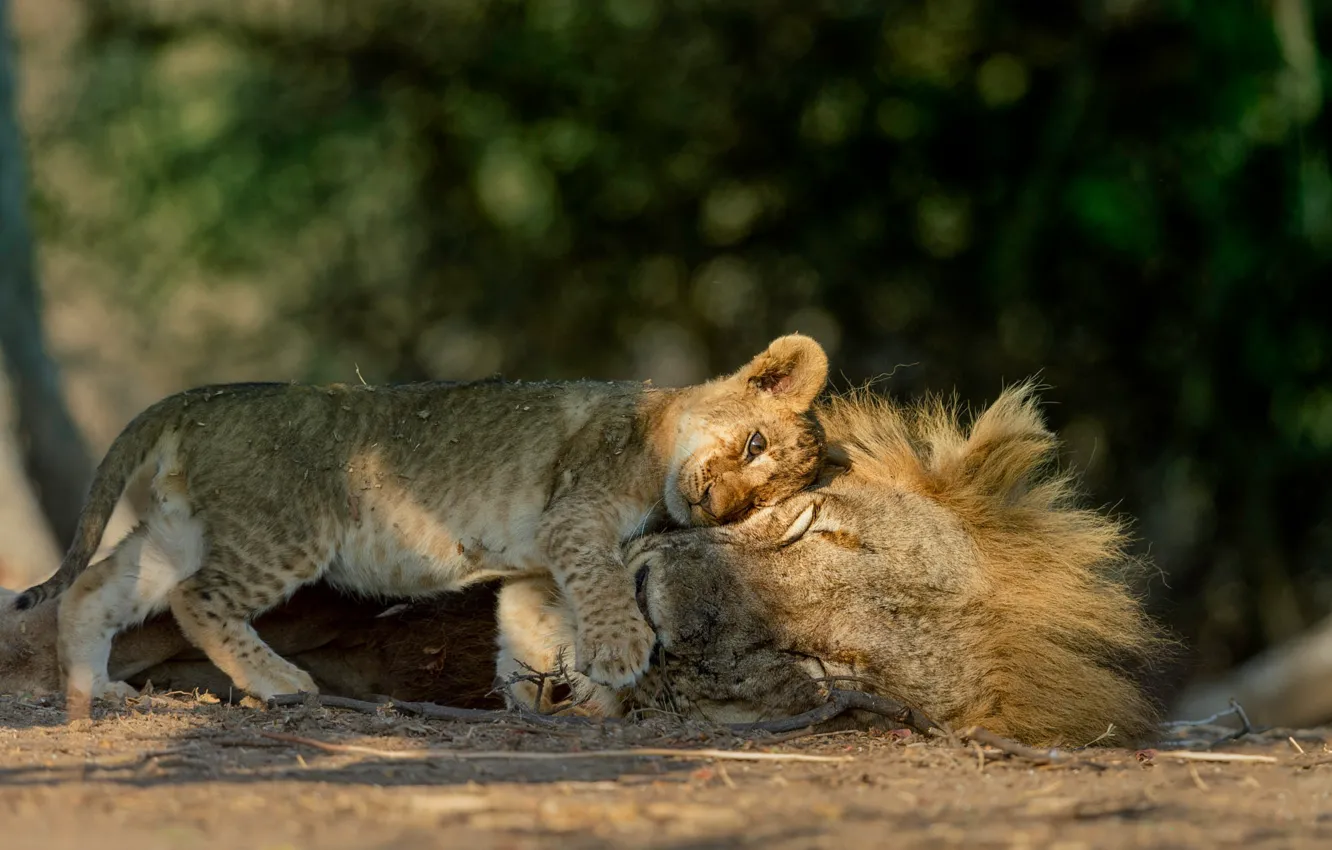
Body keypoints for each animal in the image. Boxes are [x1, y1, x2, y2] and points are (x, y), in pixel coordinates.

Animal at [11, 334, 829, 715]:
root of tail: (207, 396)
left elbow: (529, 621)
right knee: (197, 599)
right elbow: (600, 580)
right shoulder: (575, 512)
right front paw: (621, 652)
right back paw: (280, 682)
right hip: (286, 528)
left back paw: (93, 688)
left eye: (759, 501)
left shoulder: (539, 560)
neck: (660, 424)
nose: (718, 506)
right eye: (754, 443)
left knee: (96, 587)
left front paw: (538, 697)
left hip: (185, 526)